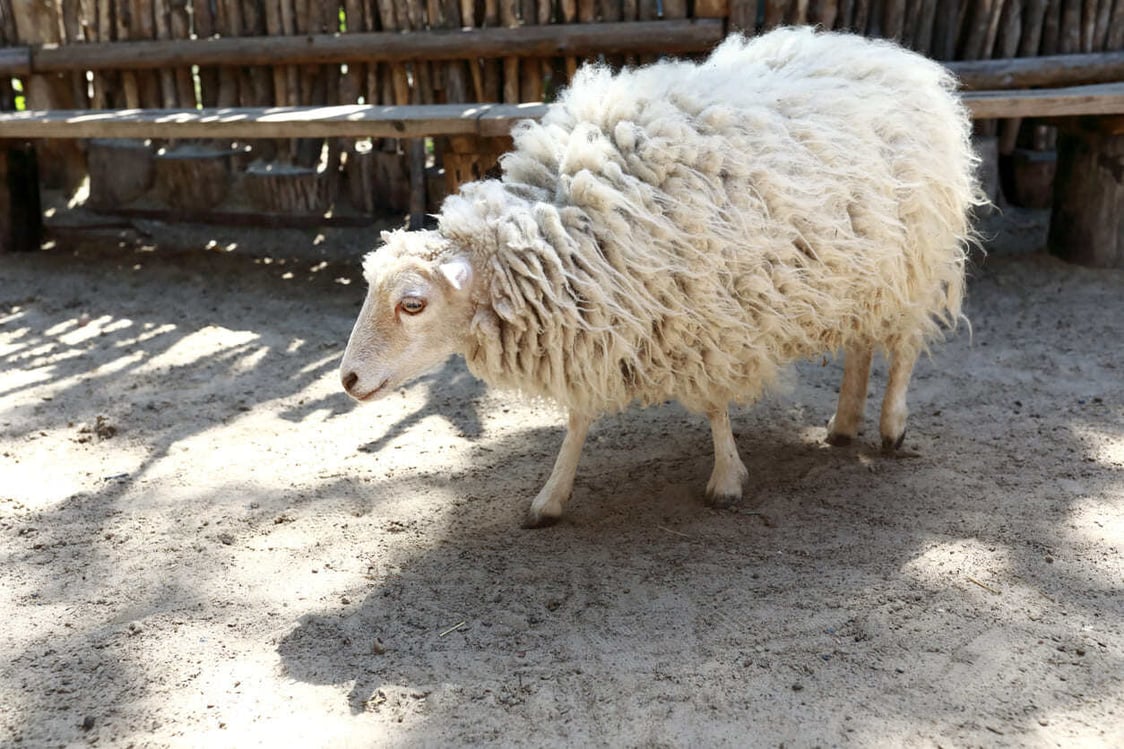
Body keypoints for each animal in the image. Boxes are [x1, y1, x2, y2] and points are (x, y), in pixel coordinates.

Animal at [339, 27, 980, 527]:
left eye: (413, 303)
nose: (347, 380)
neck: (572, 220)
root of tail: (894, 57)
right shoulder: (600, 319)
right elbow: (578, 418)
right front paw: (551, 497)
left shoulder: (710, 318)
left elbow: (716, 404)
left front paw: (726, 481)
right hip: (862, 270)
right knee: (862, 342)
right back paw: (844, 423)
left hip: (913, 262)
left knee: (903, 346)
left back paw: (891, 427)